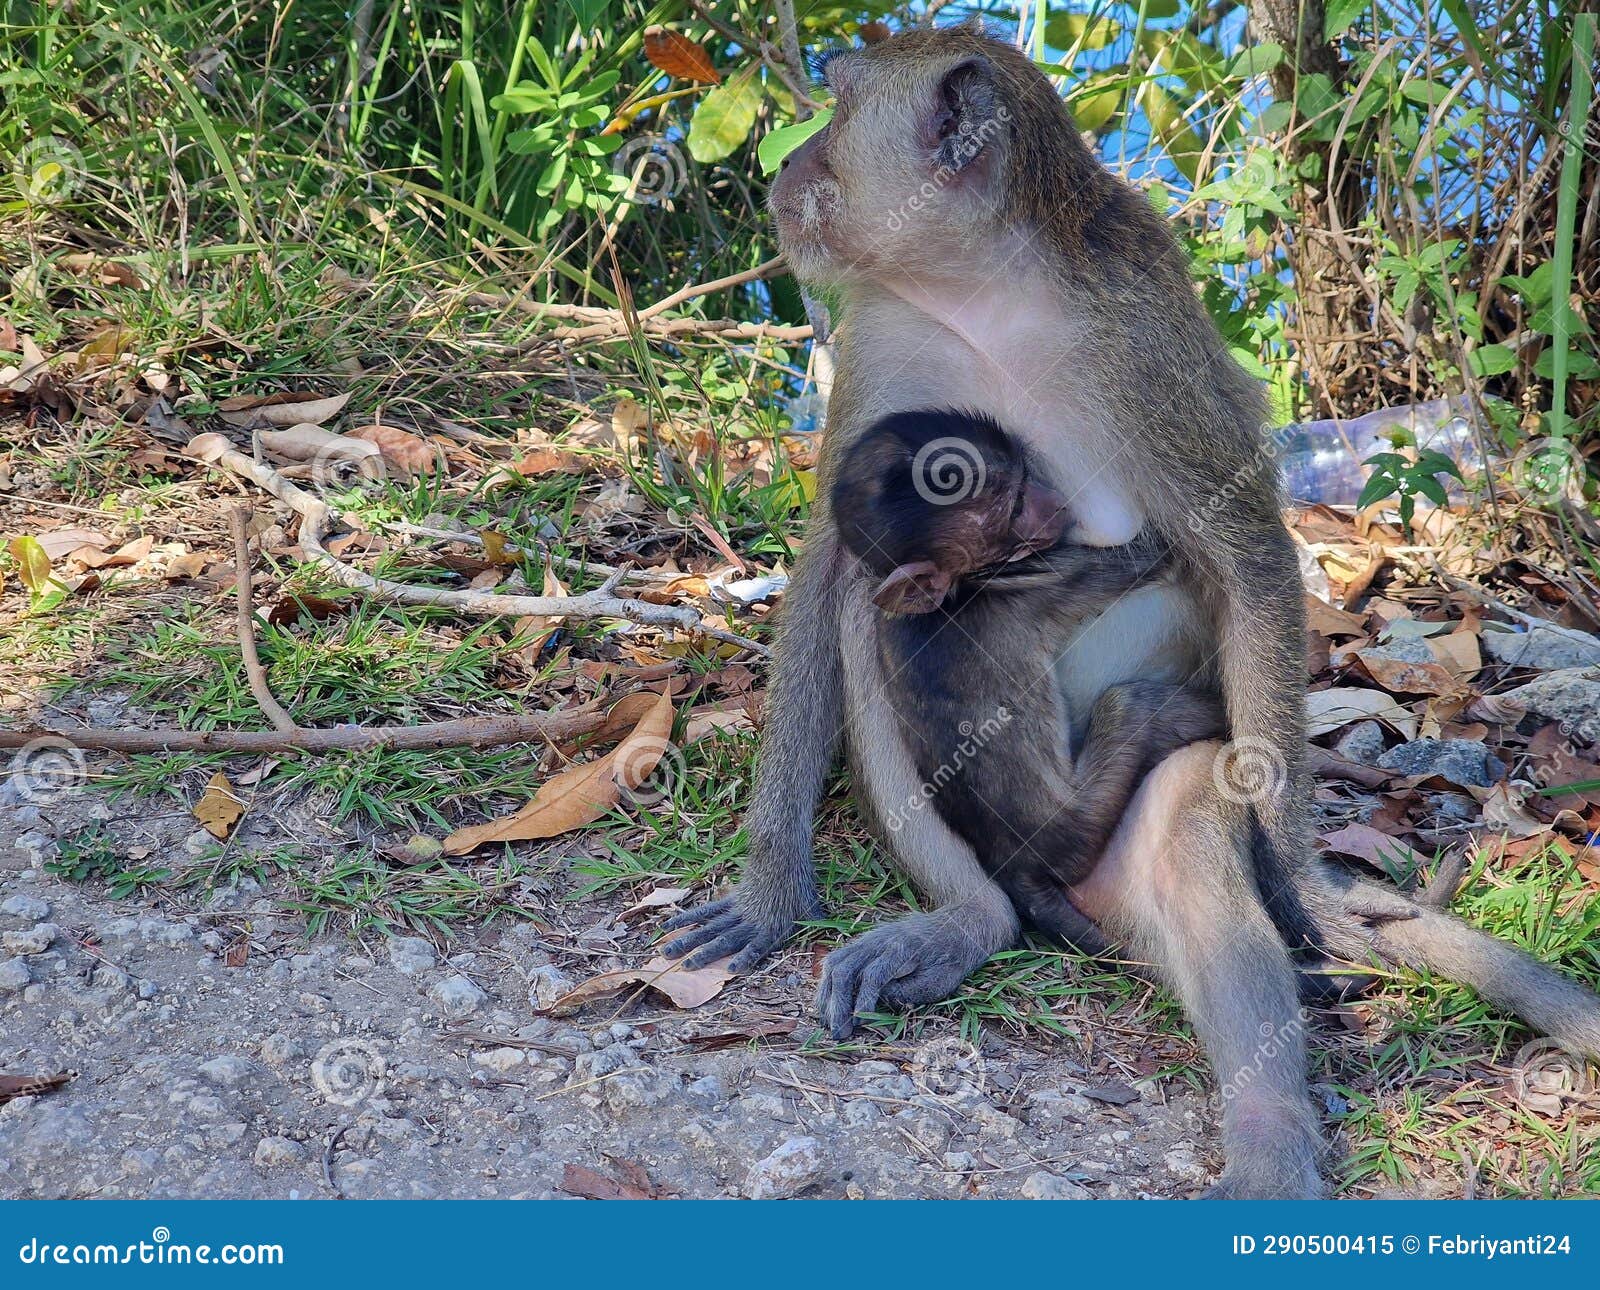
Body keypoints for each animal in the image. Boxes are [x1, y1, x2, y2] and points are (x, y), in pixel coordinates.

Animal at [828, 406, 1226, 957]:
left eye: (1025, 474)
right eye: (1015, 504)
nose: (1058, 504)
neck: (956, 591)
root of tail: (1015, 866)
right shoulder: (1048, 575)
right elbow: (1154, 555)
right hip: (1078, 826)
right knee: (1126, 706)